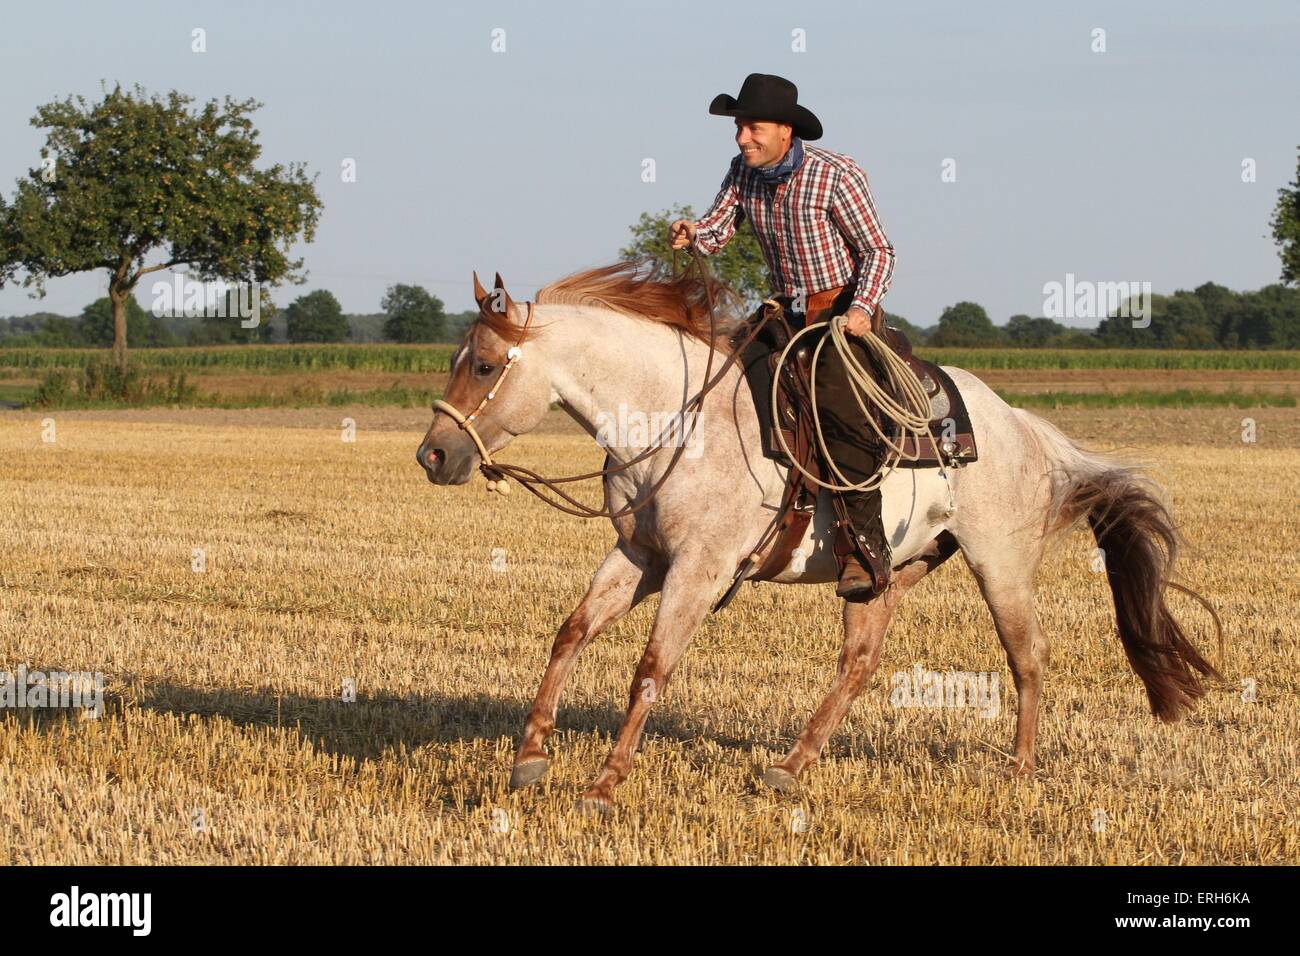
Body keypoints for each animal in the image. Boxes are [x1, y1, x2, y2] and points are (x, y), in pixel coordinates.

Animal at [416, 259, 1223, 814]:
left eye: (483, 365)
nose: (433, 455)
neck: (673, 419)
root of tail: (1020, 424)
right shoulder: (640, 555)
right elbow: (571, 633)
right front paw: (530, 755)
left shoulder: (699, 567)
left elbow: (651, 666)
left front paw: (605, 784)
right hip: (890, 571)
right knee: (860, 664)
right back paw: (790, 765)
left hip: (1002, 565)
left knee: (1028, 656)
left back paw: (1019, 770)